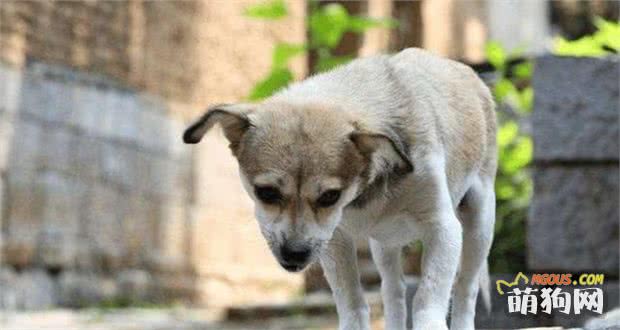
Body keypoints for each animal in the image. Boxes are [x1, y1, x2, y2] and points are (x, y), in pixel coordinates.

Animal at [184, 47, 498, 330]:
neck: (365, 192)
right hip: (384, 244)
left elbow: (426, 297)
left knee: (465, 289)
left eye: (330, 196)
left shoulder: (442, 229)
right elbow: (353, 303)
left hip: (479, 224)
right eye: (266, 192)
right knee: (393, 290)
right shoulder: (334, 240)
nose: (295, 253)